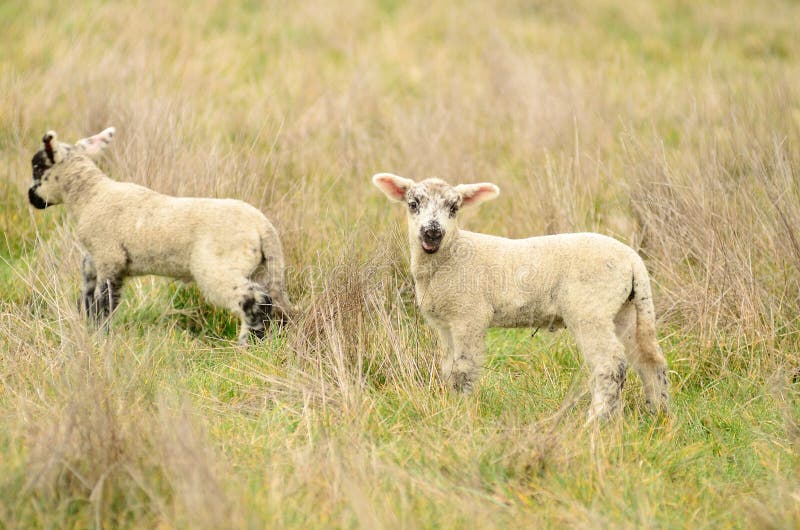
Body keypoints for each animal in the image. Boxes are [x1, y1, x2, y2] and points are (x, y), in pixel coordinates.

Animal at [28, 128, 294, 345]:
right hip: (259, 268)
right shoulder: (99, 263)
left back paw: (245, 345)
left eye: (38, 167)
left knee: (254, 300)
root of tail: (263, 227)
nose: (31, 198)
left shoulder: (109, 259)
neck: (90, 196)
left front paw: (100, 339)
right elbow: (91, 302)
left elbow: (104, 306)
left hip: (219, 267)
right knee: (267, 300)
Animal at [372, 173, 669, 421]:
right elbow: (448, 368)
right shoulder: (446, 324)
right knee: (649, 359)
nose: (432, 232)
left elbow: (464, 369)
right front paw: (450, 405)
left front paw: (461, 409)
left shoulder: (470, 315)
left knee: (611, 364)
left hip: (590, 309)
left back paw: (597, 420)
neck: (451, 255)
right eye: (413, 204)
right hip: (625, 310)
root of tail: (632, 259)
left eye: (454, 208)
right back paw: (657, 413)